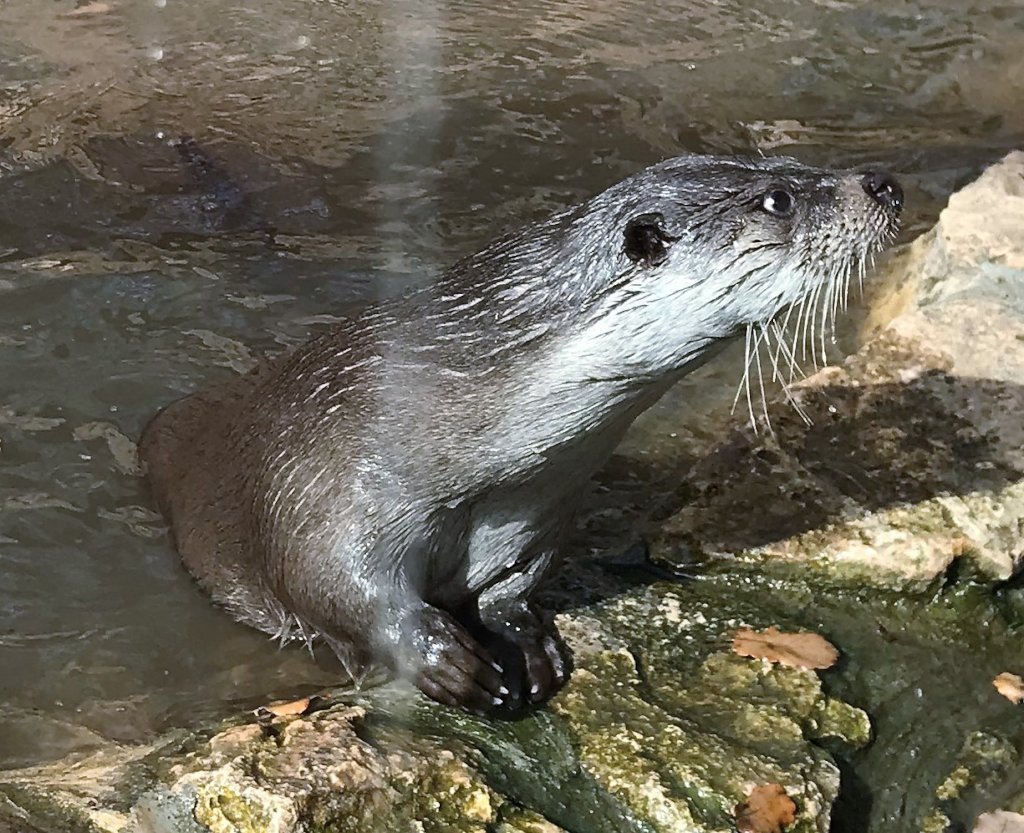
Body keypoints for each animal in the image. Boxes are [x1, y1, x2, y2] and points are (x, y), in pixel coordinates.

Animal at [140, 154, 902, 712]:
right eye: (777, 199)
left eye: (794, 163)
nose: (884, 182)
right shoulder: (327, 484)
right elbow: (335, 586)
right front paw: (440, 657)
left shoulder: (539, 506)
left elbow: (514, 585)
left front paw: (525, 638)